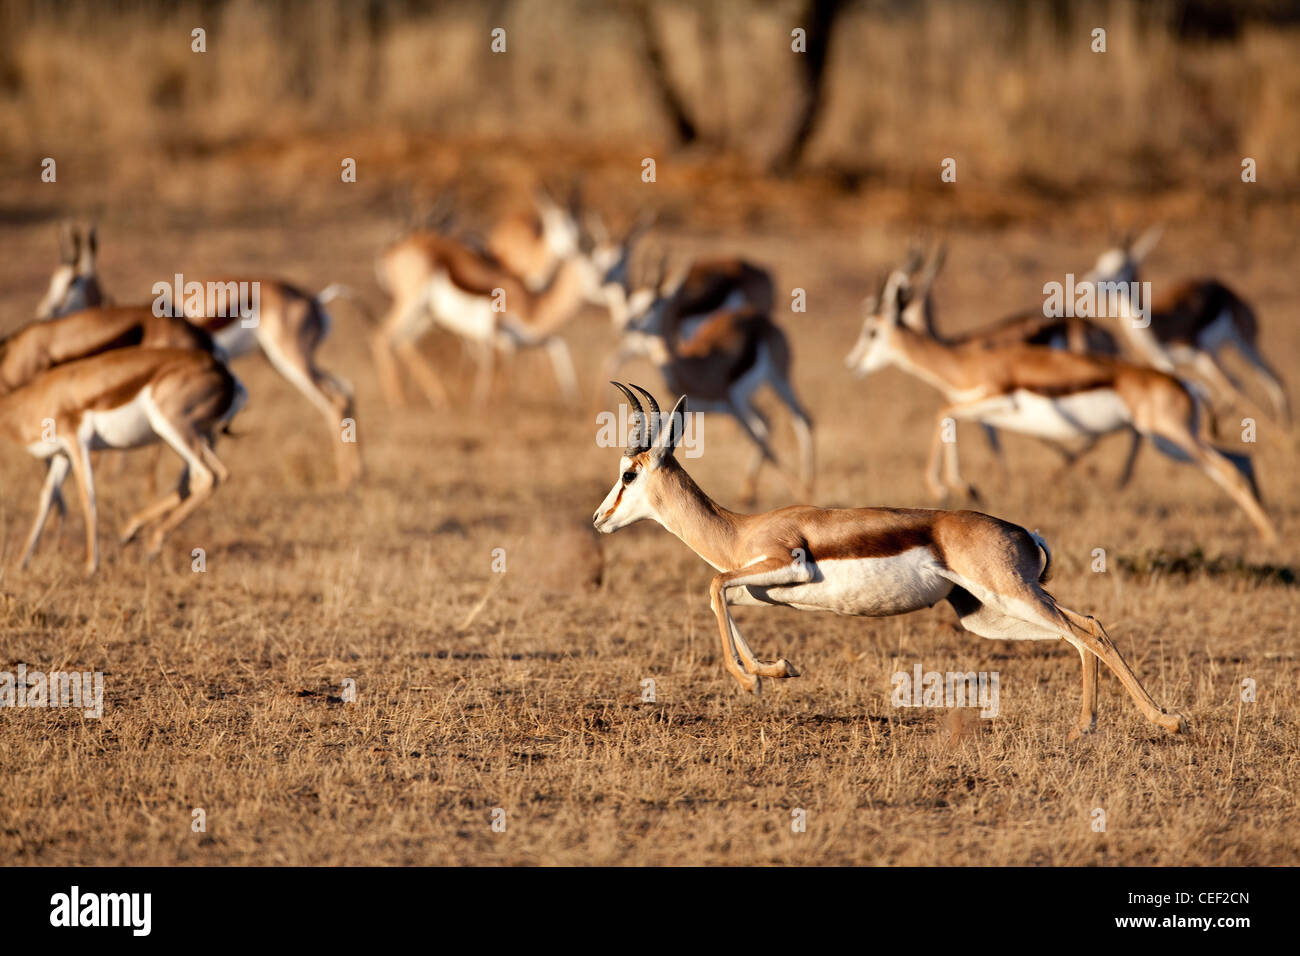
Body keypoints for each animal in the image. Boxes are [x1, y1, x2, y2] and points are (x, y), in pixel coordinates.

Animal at [0, 347, 246, 574]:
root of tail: (227, 375)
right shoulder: (62, 455)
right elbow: (47, 497)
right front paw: (20, 563)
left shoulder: (77, 442)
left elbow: (87, 497)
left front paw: (90, 567)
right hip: (201, 434)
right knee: (205, 478)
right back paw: (130, 531)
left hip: (171, 425)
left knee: (206, 476)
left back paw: (150, 544)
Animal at [593, 383, 1187, 740]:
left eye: (629, 473)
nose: (599, 518)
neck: (738, 529)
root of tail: (1022, 531)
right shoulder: (763, 587)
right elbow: (724, 596)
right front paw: (773, 672)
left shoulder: (788, 562)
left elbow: (713, 584)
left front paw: (751, 680)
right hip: (987, 614)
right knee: (1083, 630)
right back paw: (1087, 726)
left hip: (1011, 593)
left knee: (1087, 630)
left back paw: (1166, 721)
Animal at [604, 256, 814, 503]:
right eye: (633, 300)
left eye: (653, 304)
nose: (622, 325)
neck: (691, 366)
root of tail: (761, 319)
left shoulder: (731, 405)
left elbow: (763, 442)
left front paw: (798, 493)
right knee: (769, 421)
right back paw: (752, 489)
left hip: (777, 379)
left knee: (800, 419)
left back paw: (805, 488)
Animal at [846, 270, 1277, 543]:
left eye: (872, 331)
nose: (852, 364)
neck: (966, 361)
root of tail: (1183, 383)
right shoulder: (980, 407)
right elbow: (948, 417)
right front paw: (959, 486)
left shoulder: (996, 398)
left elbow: (943, 414)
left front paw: (954, 485)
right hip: (1170, 443)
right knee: (1240, 461)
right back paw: (1264, 529)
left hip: (1171, 436)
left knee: (1228, 469)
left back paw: (1271, 537)